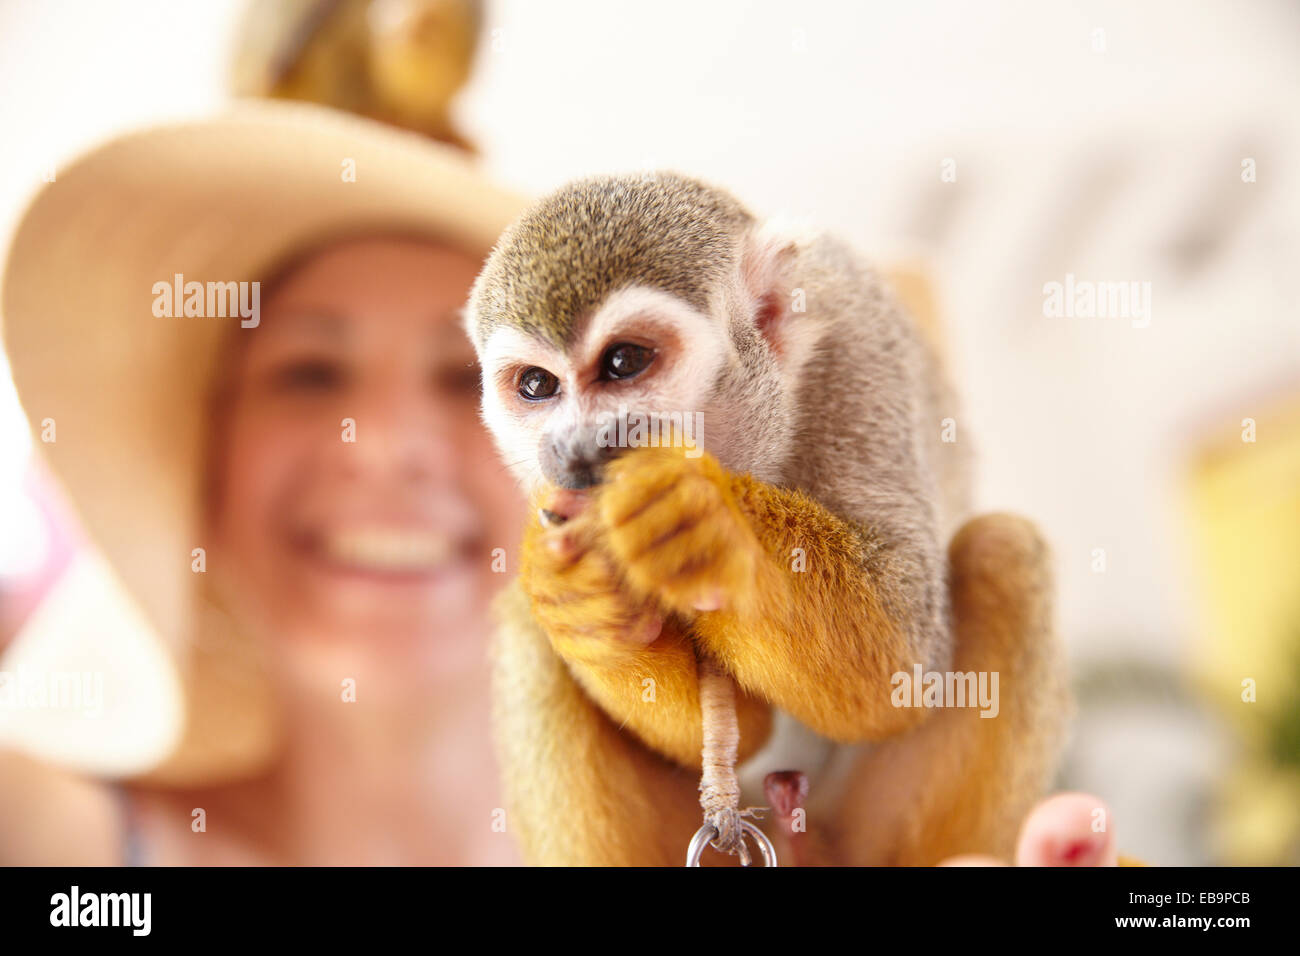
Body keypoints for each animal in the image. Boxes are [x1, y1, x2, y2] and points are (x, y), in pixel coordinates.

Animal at [464, 171, 1069, 866]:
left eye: (623, 362)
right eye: (537, 386)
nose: (574, 450)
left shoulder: (856, 357)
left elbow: (903, 672)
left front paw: (709, 520)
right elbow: (741, 729)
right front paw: (584, 603)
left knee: (1003, 549)